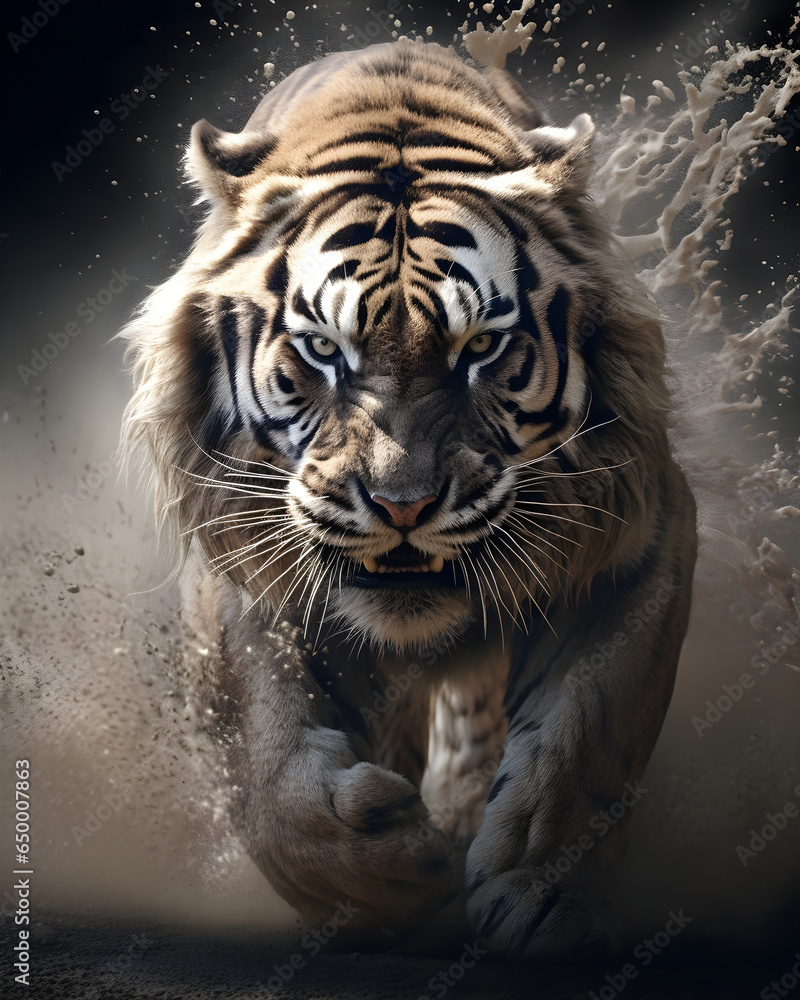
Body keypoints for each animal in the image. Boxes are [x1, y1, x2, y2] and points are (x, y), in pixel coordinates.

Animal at [120, 40, 697, 960]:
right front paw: (387, 879)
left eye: (482, 347)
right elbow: (265, 756)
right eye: (324, 349)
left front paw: (540, 897)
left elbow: (589, 733)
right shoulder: (241, 564)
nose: (401, 507)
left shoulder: (637, 537)